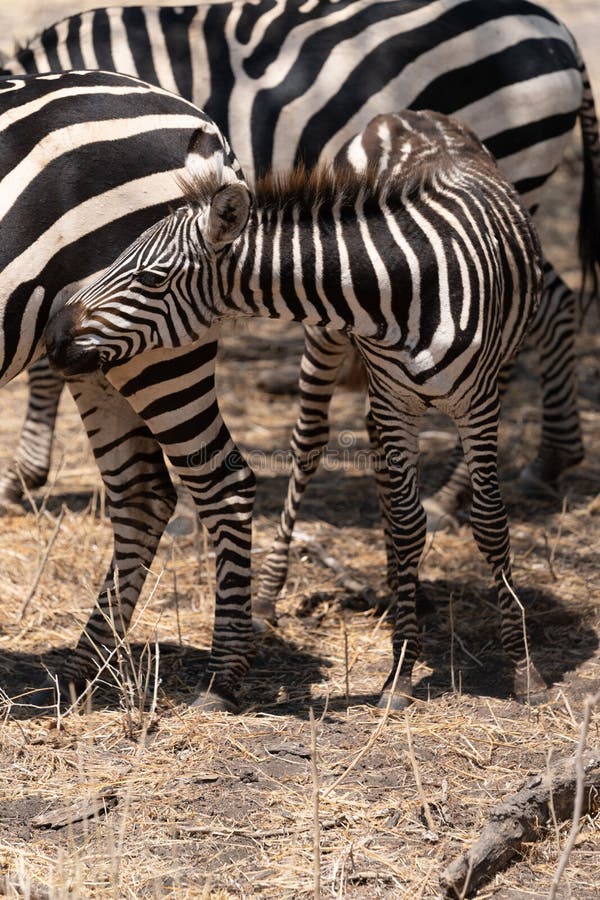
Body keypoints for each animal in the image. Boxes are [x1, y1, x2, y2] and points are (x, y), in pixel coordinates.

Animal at [1, 0, 598, 518]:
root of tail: (557, 29)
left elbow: (47, 353)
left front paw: (23, 473)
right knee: (554, 305)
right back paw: (548, 462)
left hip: (506, 173)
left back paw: (457, 492)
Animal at [46, 111, 547, 710]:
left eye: (151, 278)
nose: (54, 336)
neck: (408, 289)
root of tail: (405, 115)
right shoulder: (395, 401)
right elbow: (407, 524)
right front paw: (401, 669)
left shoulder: (479, 407)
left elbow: (491, 523)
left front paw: (523, 667)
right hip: (333, 345)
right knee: (315, 448)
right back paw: (295, 593)